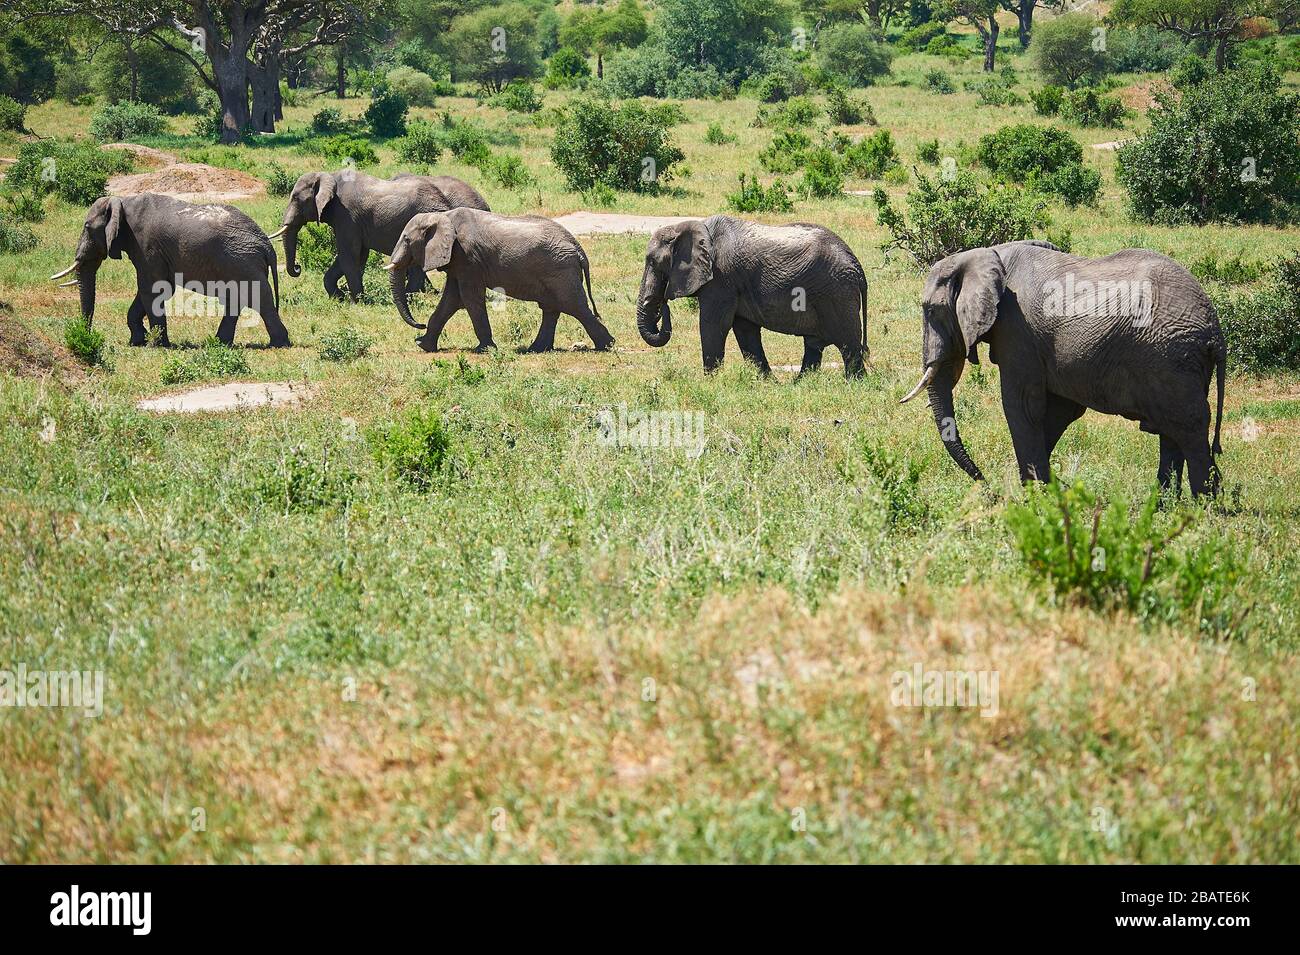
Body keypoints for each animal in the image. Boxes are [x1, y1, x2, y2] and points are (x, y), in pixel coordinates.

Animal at [49, 193, 288, 347]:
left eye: (87, 227)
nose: (87, 335)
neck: (122, 201)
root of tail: (266, 245)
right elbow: (153, 289)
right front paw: (138, 341)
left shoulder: (145, 244)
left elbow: (153, 289)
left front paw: (157, 344)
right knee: (237, 300)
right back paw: (220, 343)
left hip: (244, 262)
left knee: (260, 299)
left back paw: (279, 343)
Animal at [271, 171, 490, 300]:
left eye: (295, 198)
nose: (297, 268)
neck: (329, 176)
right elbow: (357, 256)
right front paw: (341, 296)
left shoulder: (346, 215)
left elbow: (348, 254)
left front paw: (357, 300)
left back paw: (410, 296)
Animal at [384, 208, 615, 353]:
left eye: (406, 239)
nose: (419, 325)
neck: (442, 216)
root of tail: (579, 249)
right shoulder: (459, 261)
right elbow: (451, 299)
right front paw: (423, 346)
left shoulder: (468, 257)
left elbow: (469, 298)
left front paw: (484, 350)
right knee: (552, 308)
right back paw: (536, 349)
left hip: (561, 272)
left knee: (574, 306)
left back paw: (607, 346)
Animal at [636, 215, 869, 377]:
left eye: (653, 262)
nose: (662, 305)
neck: (692, 226)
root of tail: (857, 265)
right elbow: (745, 330)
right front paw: (769, 383)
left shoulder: (721, 279)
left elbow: (713, 325)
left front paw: (710, 383)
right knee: (814, 346)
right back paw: (800, 384)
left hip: (837, 292)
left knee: (849, 346)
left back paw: (855, 384)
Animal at [899, 240, 1227, 497]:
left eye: (931, 310)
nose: (988, 485)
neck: (986, 254)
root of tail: (1215, 330)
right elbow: (1059, 410)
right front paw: (1045, 489)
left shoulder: (1017, 331)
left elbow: (1022, 406)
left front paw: (1034, 496)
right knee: (1171, 433)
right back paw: (1162, 508)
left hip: (1170, 361)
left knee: (1188, 430)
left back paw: (1204, 510)